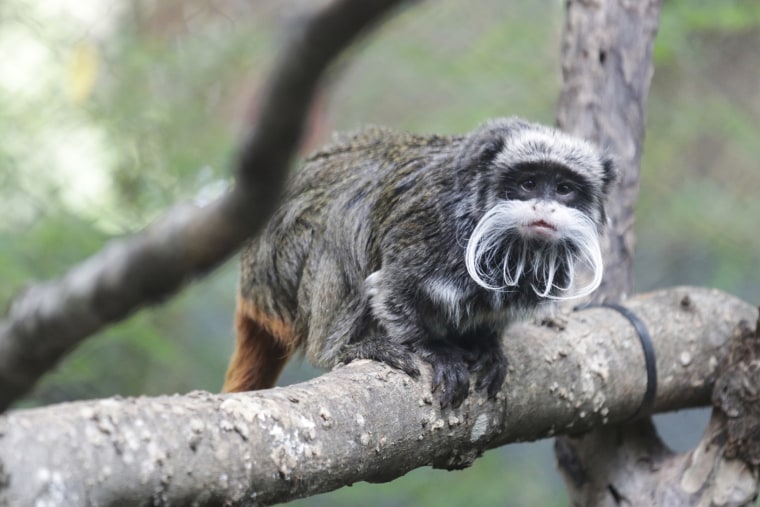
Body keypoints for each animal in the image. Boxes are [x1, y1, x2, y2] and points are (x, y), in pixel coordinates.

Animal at [223, 117, 616, 408]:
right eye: (528, 183)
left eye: (564, 189)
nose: (545, 208)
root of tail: (249, 284)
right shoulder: (428, 227)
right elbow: (391, 290)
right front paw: (434, 350)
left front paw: (487, 345)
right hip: (280, 267)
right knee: (343, 220)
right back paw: (345, 347)